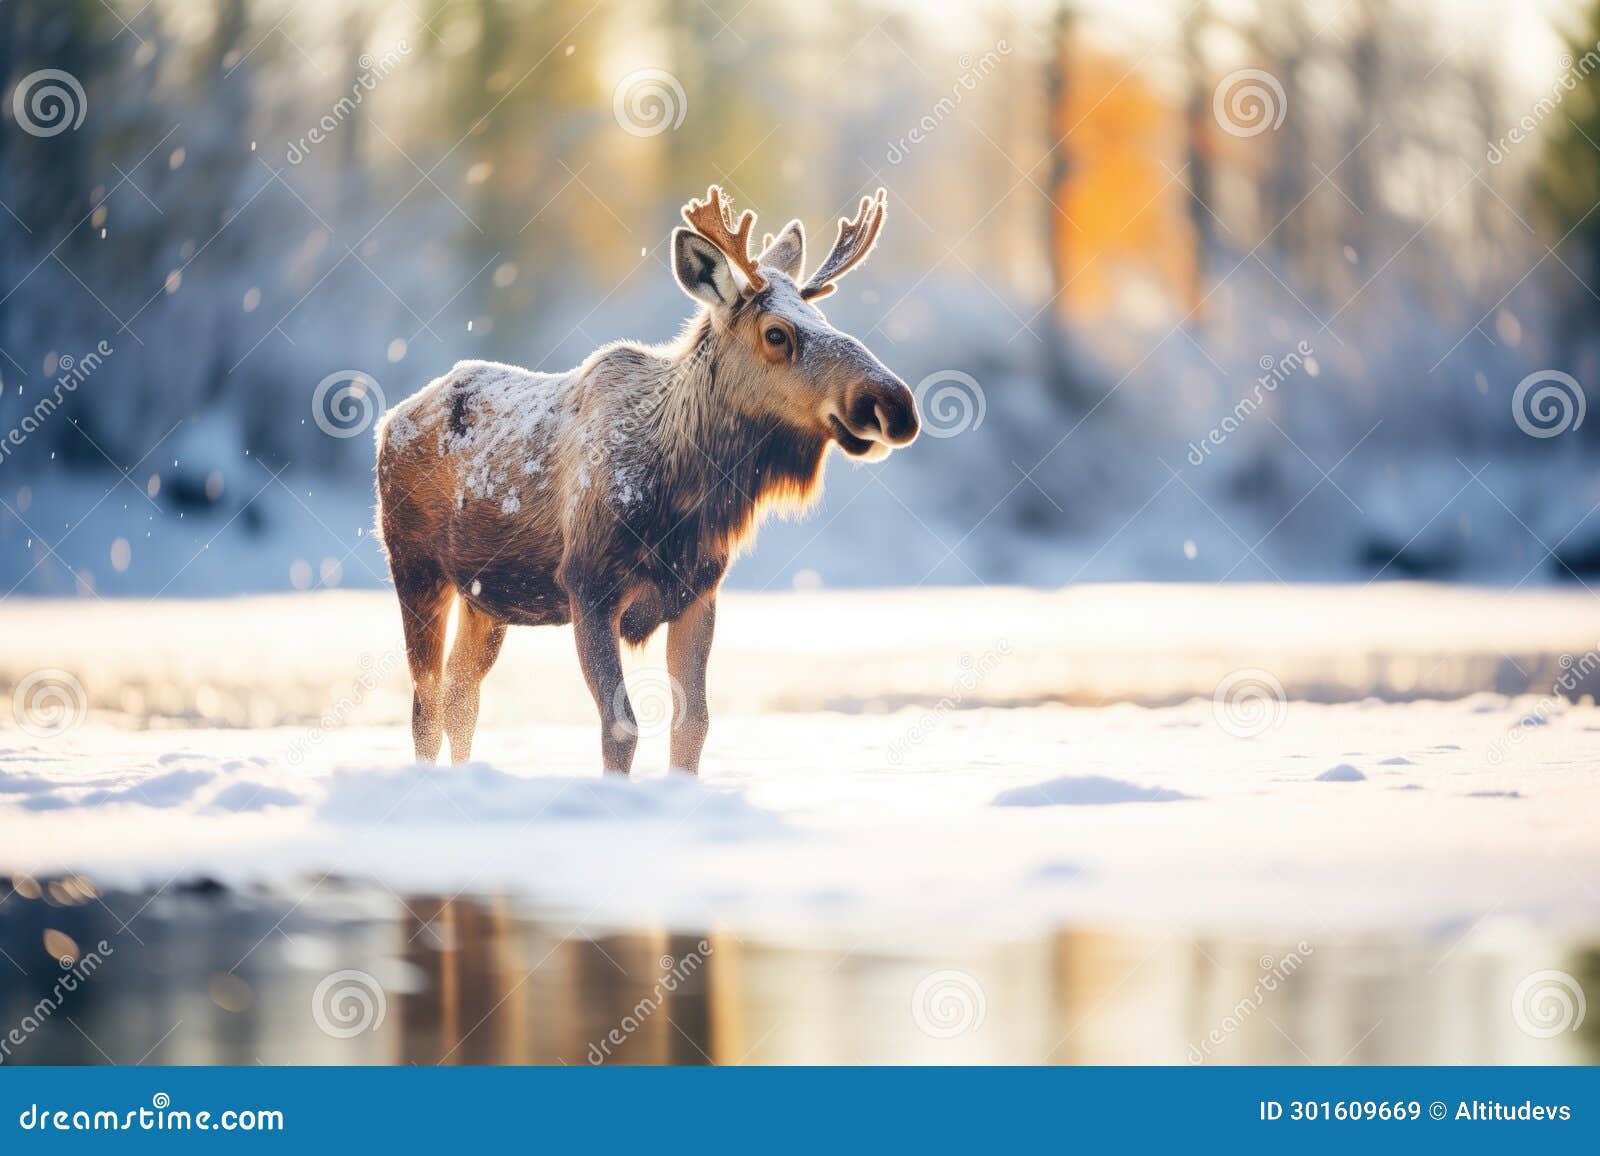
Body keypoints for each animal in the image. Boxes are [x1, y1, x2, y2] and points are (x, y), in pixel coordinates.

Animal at [374, 185, 919, 775]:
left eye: (824, 316)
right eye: (777, 333)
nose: (895, 404)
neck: (680, 496)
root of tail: (388, 423)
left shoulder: (698, 592)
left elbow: (694, 726)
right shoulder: (587, 585)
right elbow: (621, 727)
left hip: (485, 598)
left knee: (461, 695)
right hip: (414, 567)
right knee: (425, 702)